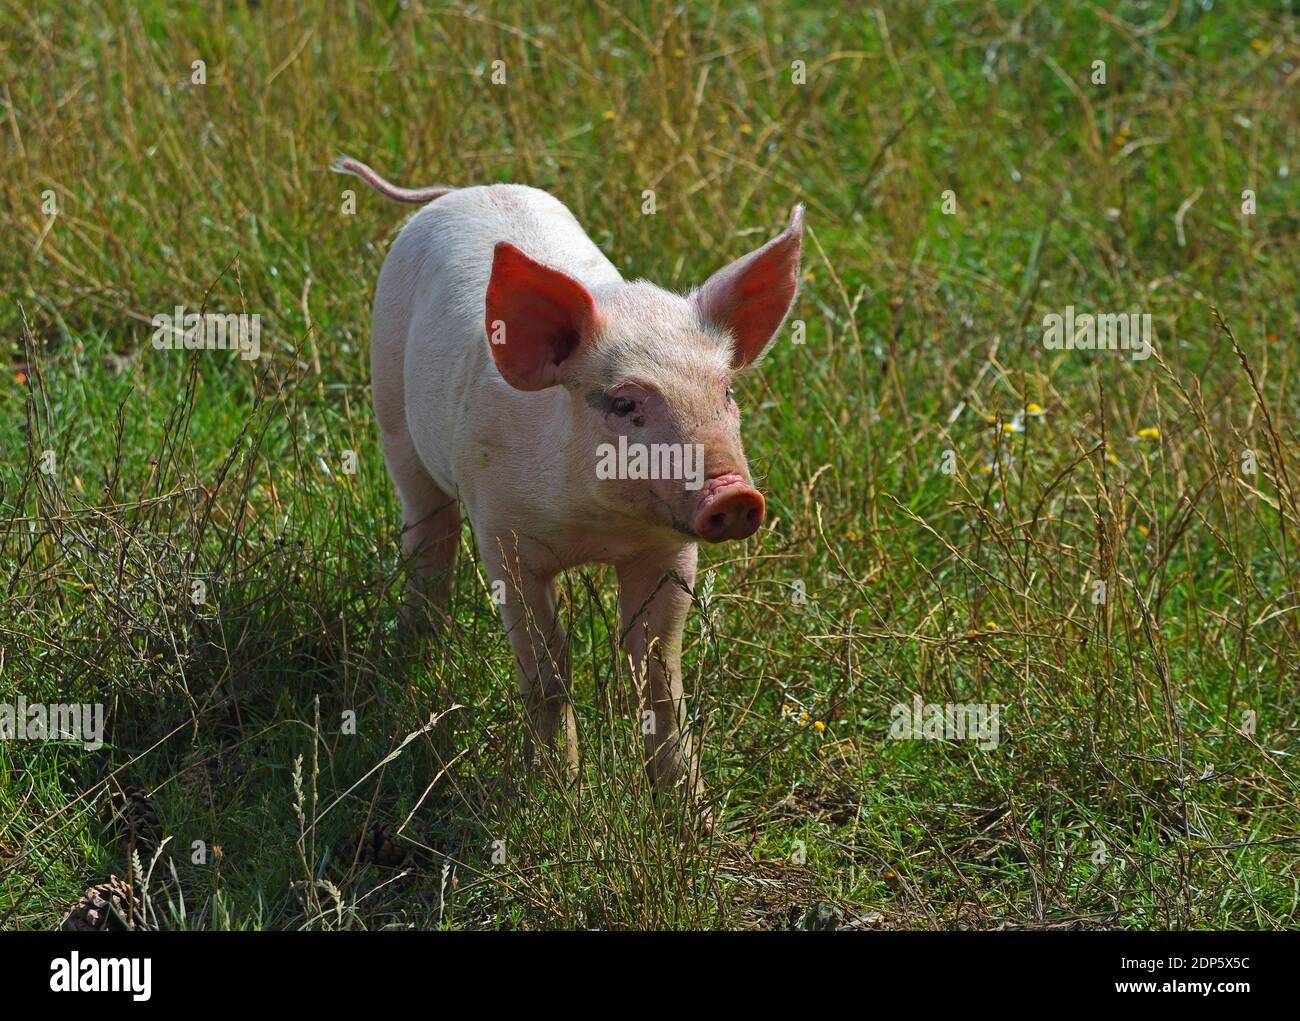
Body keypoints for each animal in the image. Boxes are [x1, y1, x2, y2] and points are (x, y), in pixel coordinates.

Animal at [334, 156, 803, 810]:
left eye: (727, 391)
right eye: (625, 402)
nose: (734, 494)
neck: (597, 529)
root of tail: (464, 190)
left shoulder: (670, 550)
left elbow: (658, 673)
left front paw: (688, 814)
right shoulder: (502, 537)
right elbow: (549, 668)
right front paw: (560, 798)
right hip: (392, 414)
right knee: (428, 532)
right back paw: (417, 644)